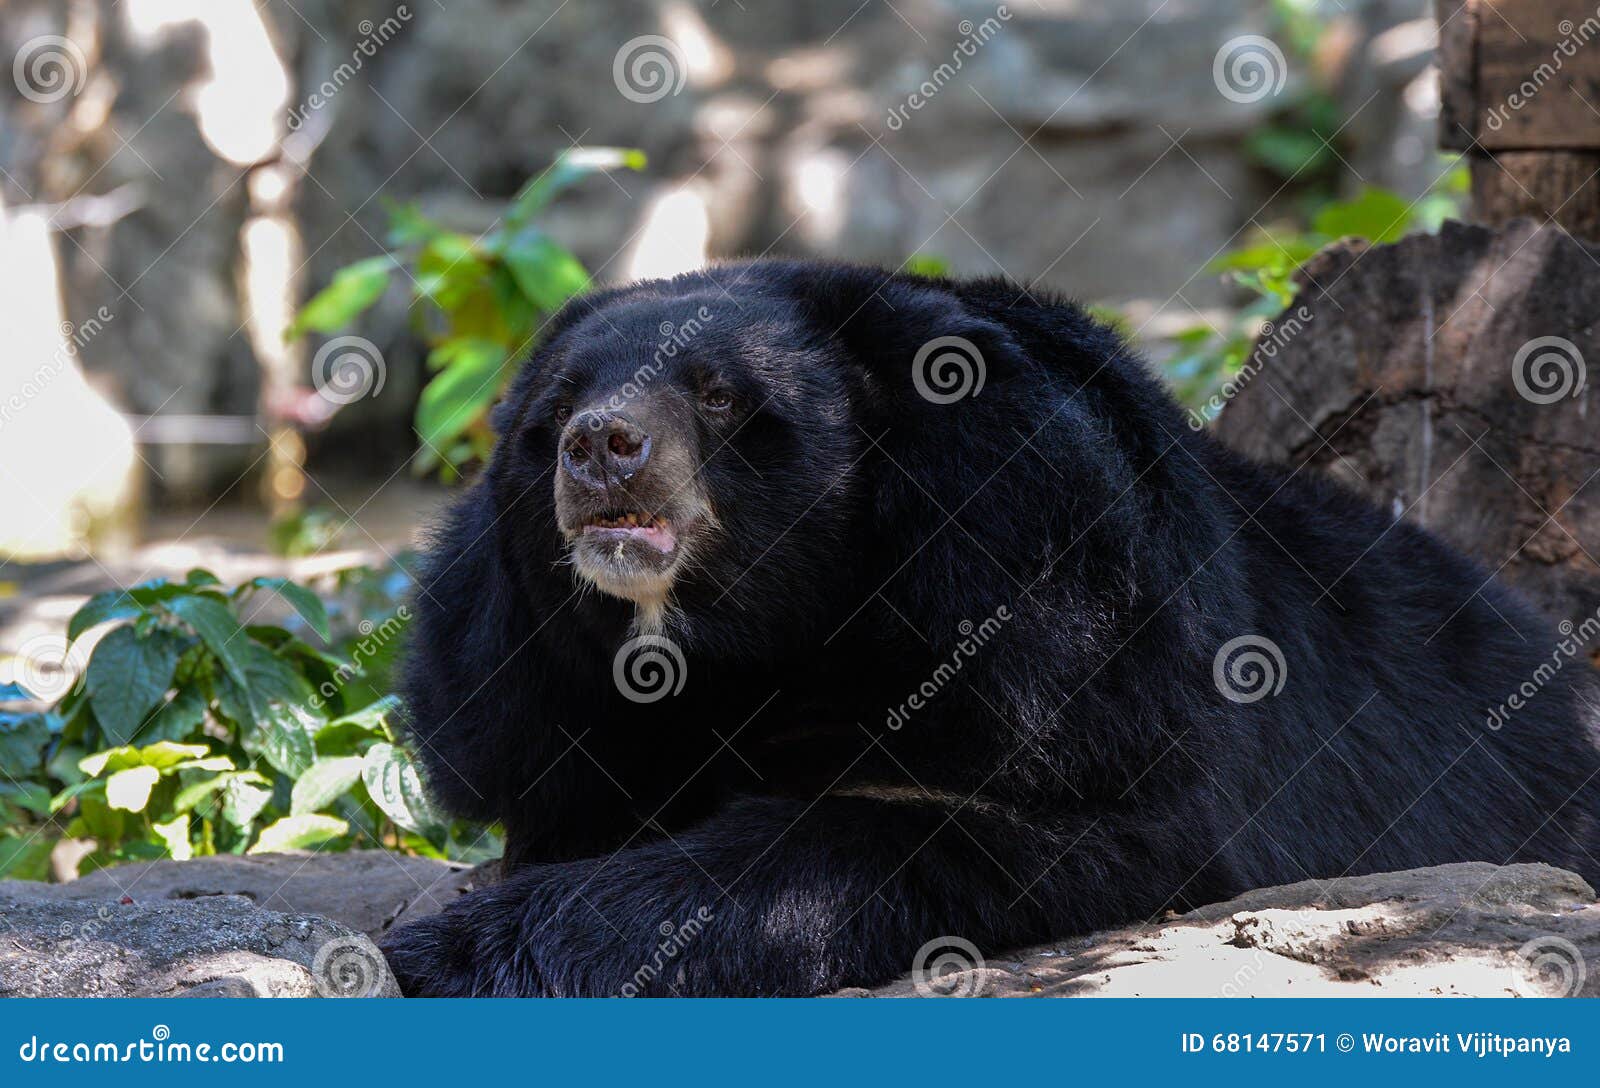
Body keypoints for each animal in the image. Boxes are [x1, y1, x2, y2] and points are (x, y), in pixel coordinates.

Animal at [379, 259, 1600, 997]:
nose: (602, 447)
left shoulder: (1056, 592)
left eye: (716, 394)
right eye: (553, 412)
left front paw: (459, 945)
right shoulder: (526, 681)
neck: (740, 646)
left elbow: (978, 816)